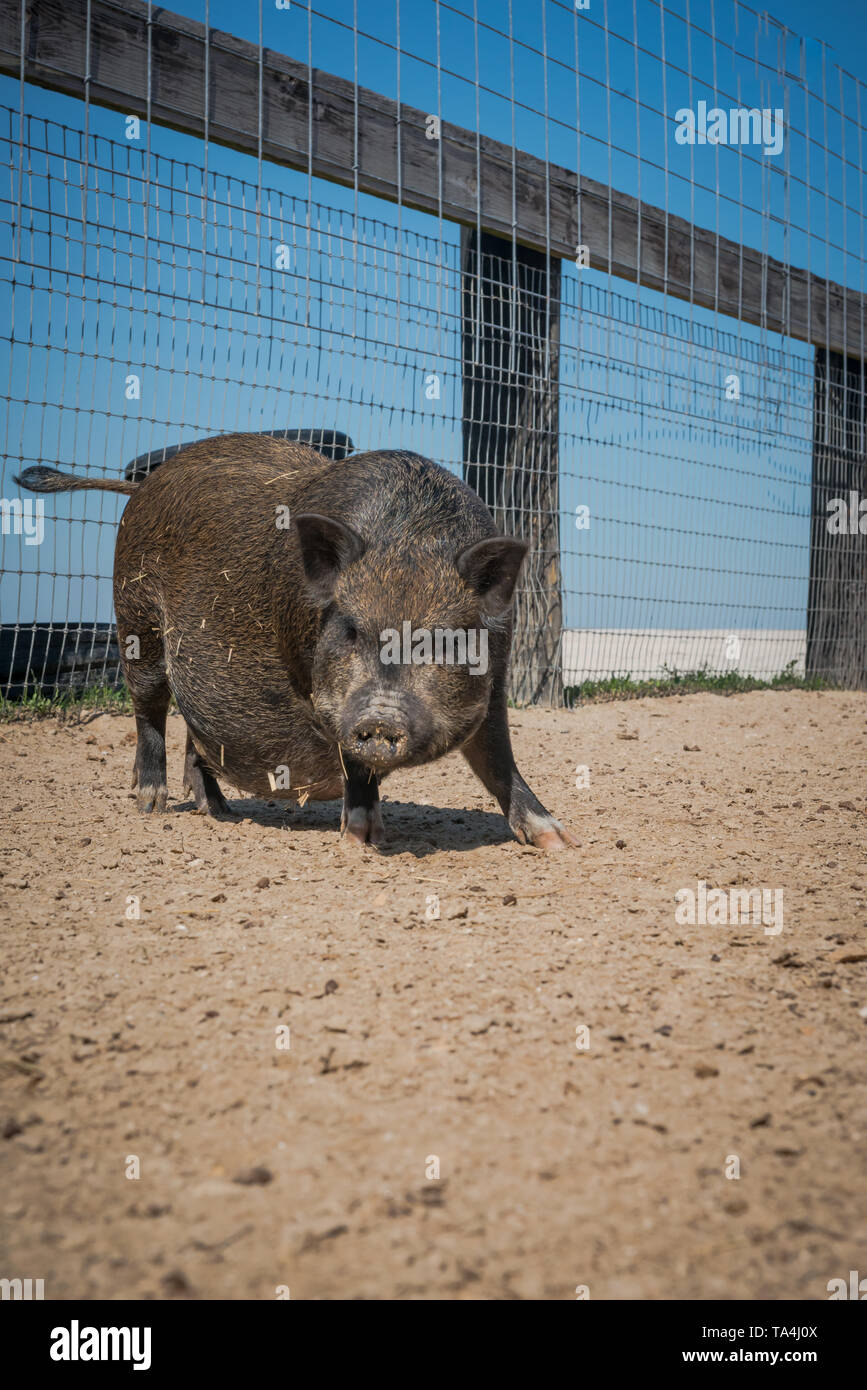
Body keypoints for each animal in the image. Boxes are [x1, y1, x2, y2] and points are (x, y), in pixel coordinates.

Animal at [17, 434, 575, 849]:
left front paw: (558, 840)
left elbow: (499, 757)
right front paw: (361, 840)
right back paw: (150, 807)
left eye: (442, 640)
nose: (381, 717)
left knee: (197, 732)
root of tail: (142, 486)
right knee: (149, 711)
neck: (411, 538)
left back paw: (218, 811)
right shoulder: (322, 693)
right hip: (136, 620)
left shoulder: (496, 678)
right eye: (349, 629)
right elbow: (354, 762)